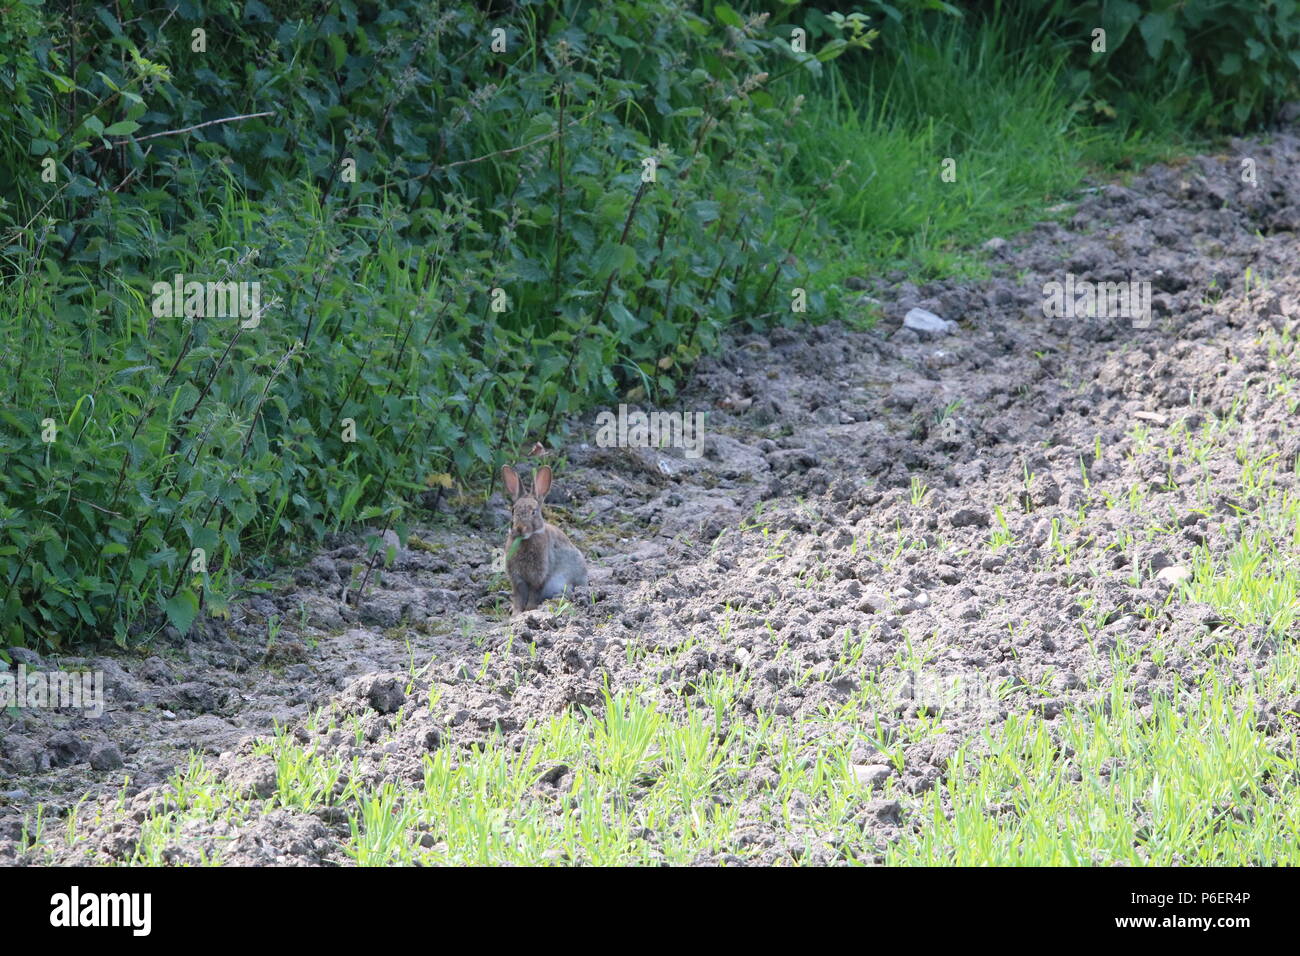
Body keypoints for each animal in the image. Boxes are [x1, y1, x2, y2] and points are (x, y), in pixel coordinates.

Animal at [501, 464, 588, 613]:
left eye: (534, 512)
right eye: (513, 510)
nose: (519, 528)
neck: (526, 539)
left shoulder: (540, 576)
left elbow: (534, 593)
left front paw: (529, 610)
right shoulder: (517, 579)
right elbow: (518, 596)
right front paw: (516, 612)